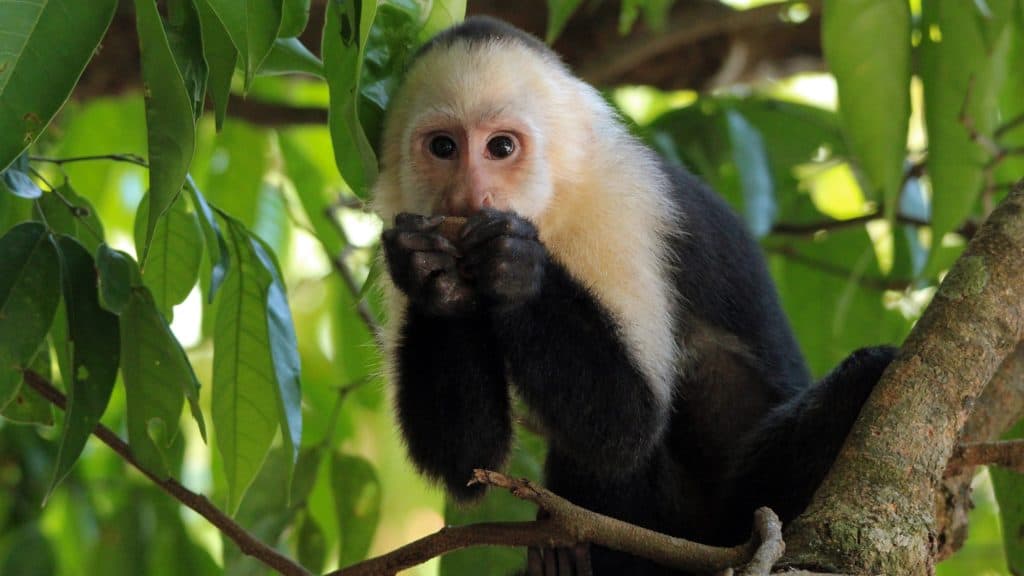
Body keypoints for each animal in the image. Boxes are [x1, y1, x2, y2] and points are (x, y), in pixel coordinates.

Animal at [372, 16, 897, 575]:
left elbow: (626, 426)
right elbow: (466, 461)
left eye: (501, 148)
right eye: (443, 147)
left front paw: (512, 268)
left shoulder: (622, 207)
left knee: (857, 373)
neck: (551, 211)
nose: (470, 197)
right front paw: (435, 278)